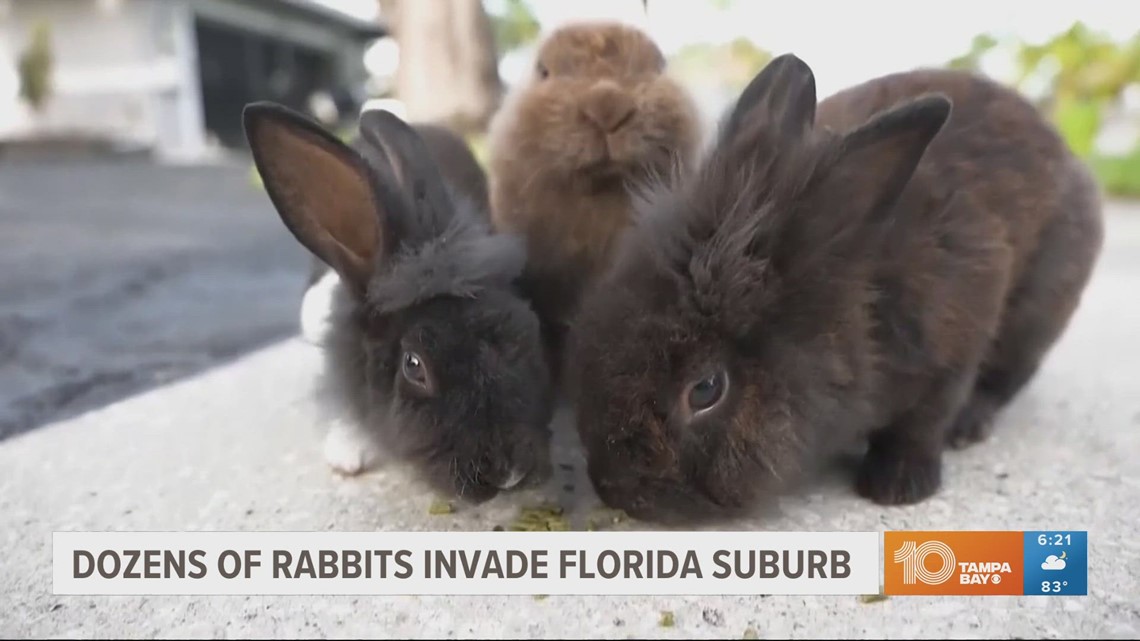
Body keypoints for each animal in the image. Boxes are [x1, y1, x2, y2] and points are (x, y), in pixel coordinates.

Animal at [566, 54, 1105, 523]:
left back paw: (969, 426)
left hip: (1038, 311)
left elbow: (923, 422)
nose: (613, 487)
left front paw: (898, 488)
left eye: (705, 389)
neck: (856, 309)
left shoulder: (953, 349)